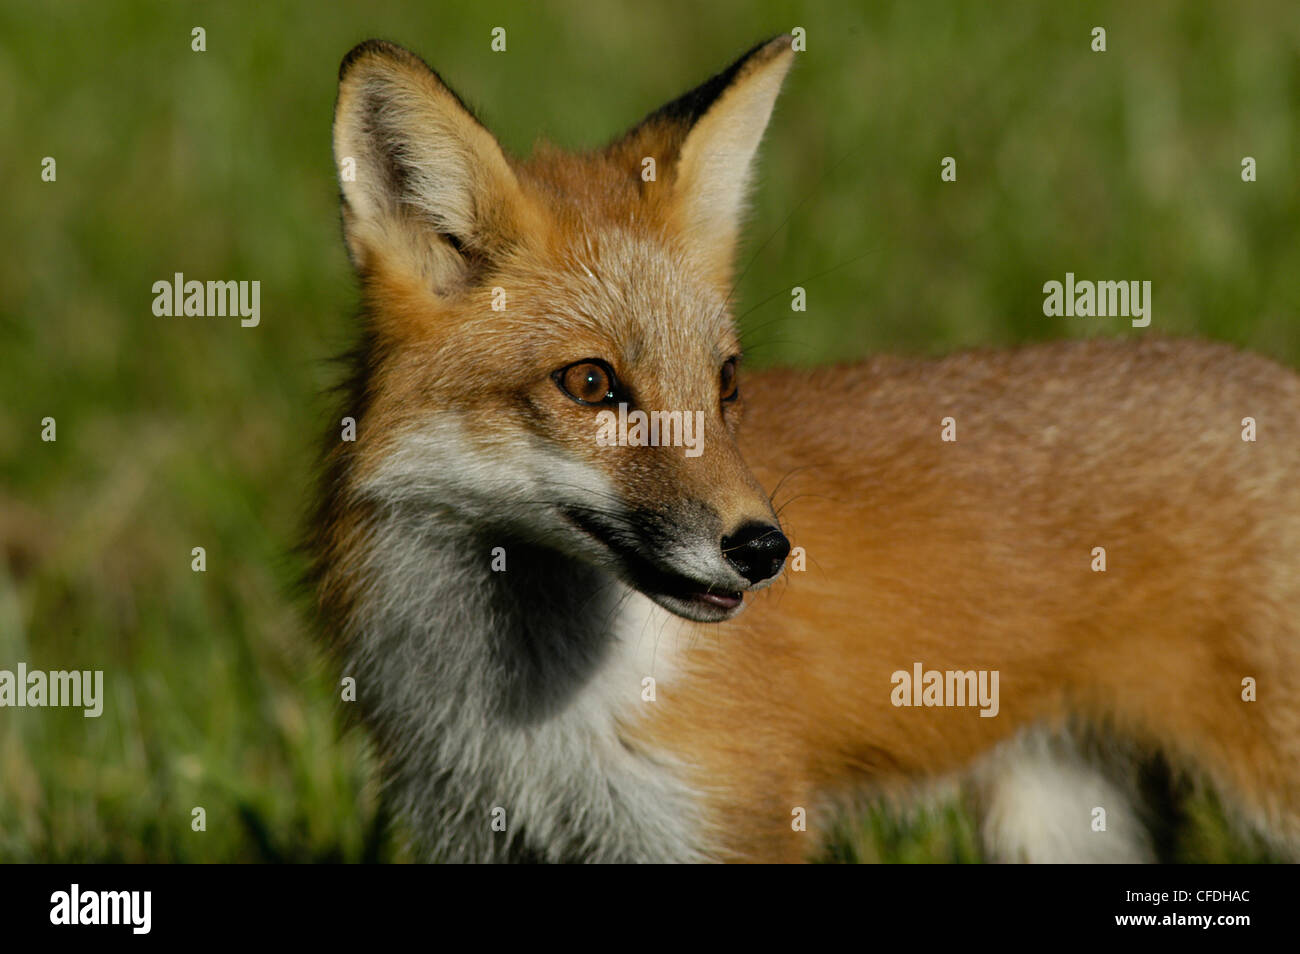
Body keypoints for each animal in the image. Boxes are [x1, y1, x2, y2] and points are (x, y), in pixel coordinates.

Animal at [311, 35, 1300, 863]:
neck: (528, 724)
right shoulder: (474, 832)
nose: (763, 549)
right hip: (1061, 815)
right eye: (590, 383)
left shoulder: (728, 822)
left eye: (726, 382)